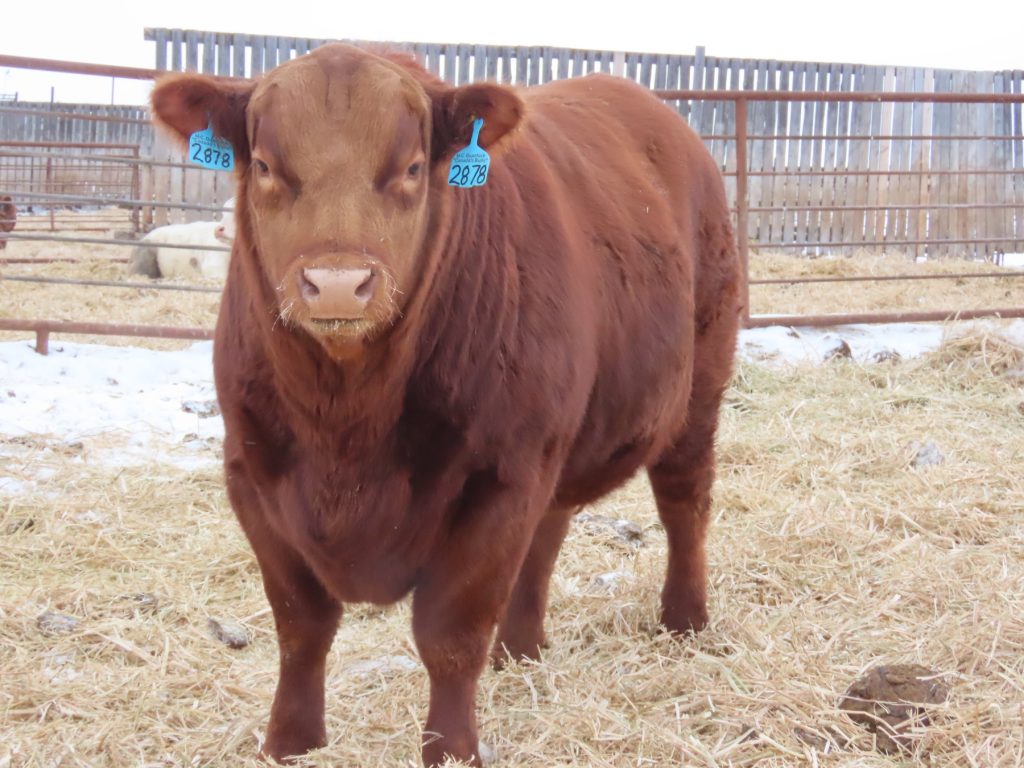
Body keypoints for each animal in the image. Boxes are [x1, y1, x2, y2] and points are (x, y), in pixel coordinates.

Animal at [150, 43, 742, 767]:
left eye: (410, 168)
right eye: (263, 164)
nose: (339, 285)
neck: (344, 423)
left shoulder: (500, 478)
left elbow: (451, 635)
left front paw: (452, 749)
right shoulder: (251, 471)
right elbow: (300, 622)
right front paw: (289, 740)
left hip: (698, 387)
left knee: (684, 502)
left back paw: (684, 620)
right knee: (551, 526)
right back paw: (521, 646)